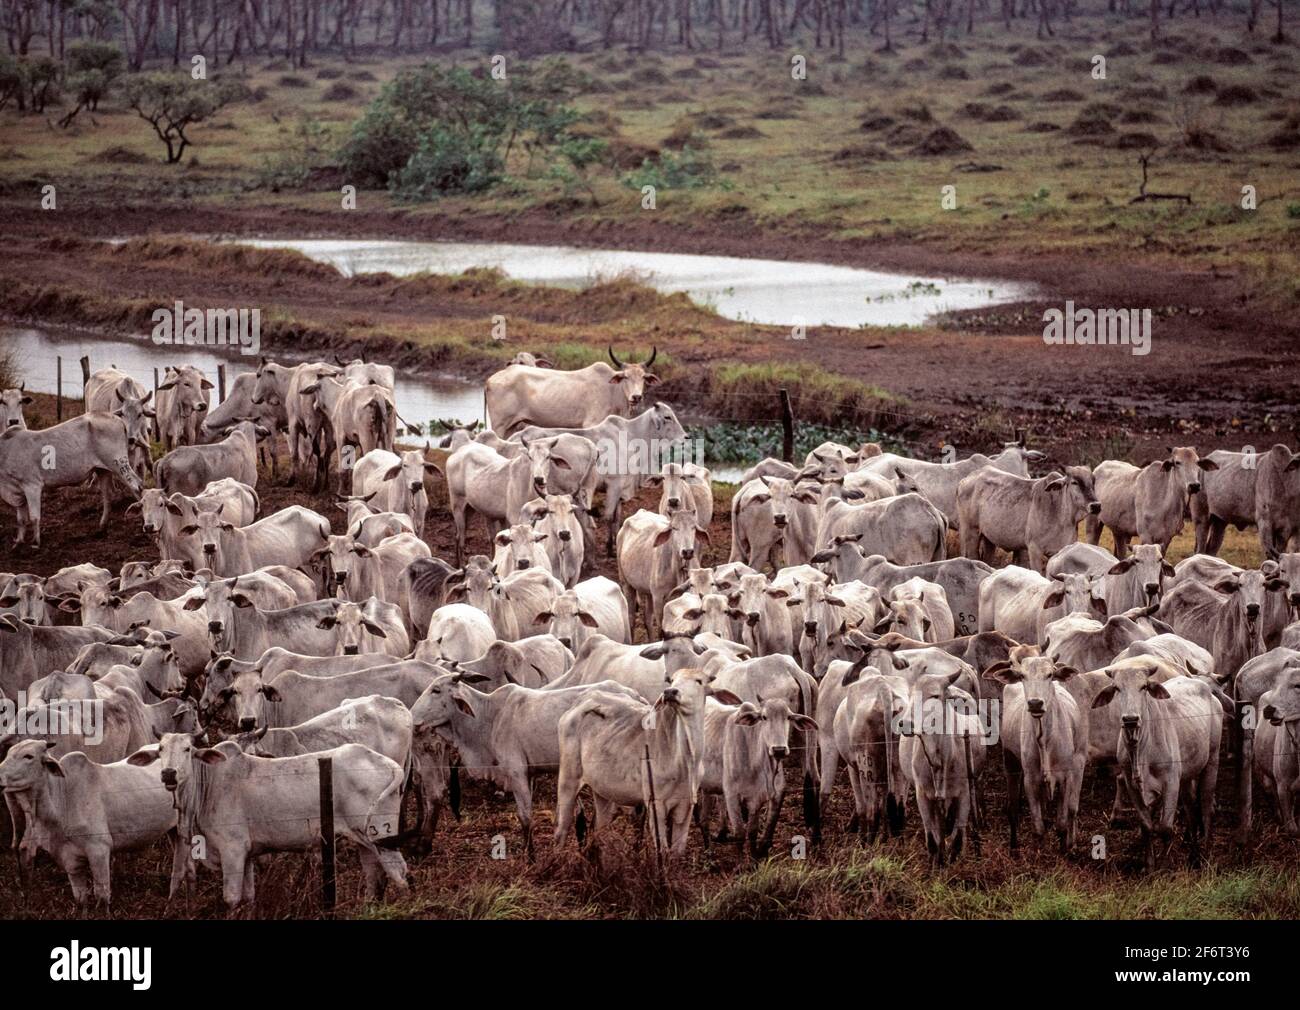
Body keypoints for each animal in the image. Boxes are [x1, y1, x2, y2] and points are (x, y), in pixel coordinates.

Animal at [0, 412, 143, 545]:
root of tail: (117, 418)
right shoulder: (18, 491)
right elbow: (21, 520)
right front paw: (19, 542)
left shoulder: (32, 485)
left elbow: (34, 517)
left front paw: (35, 543)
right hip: (103, 470)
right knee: (107, 496)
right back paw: (102, 528)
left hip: (118, 464)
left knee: (137, 485)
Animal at [128, 734, 408, 908]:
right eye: (161, 750)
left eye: (187, 750)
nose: (168, 773)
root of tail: (387, 763)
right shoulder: (248, 855)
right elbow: (248, 897)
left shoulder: (232, 849)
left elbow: (231, 899)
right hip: (364, 841)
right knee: (374, 875)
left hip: (381, 837)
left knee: (400, 874)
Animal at [485, 346, 660, 435]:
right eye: (625, 376)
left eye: (643, 377)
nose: (636, 397)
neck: (613, 390)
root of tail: (490, 380)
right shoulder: (591, 423)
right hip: (499, 425)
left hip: (511, 426)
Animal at [958, 466, 1099, 573]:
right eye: (1075, 482)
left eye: (1093, 482)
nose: (1096, 506)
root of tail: (966, 478)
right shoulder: (1034, 549)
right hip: (970, 532)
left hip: (989, 539)